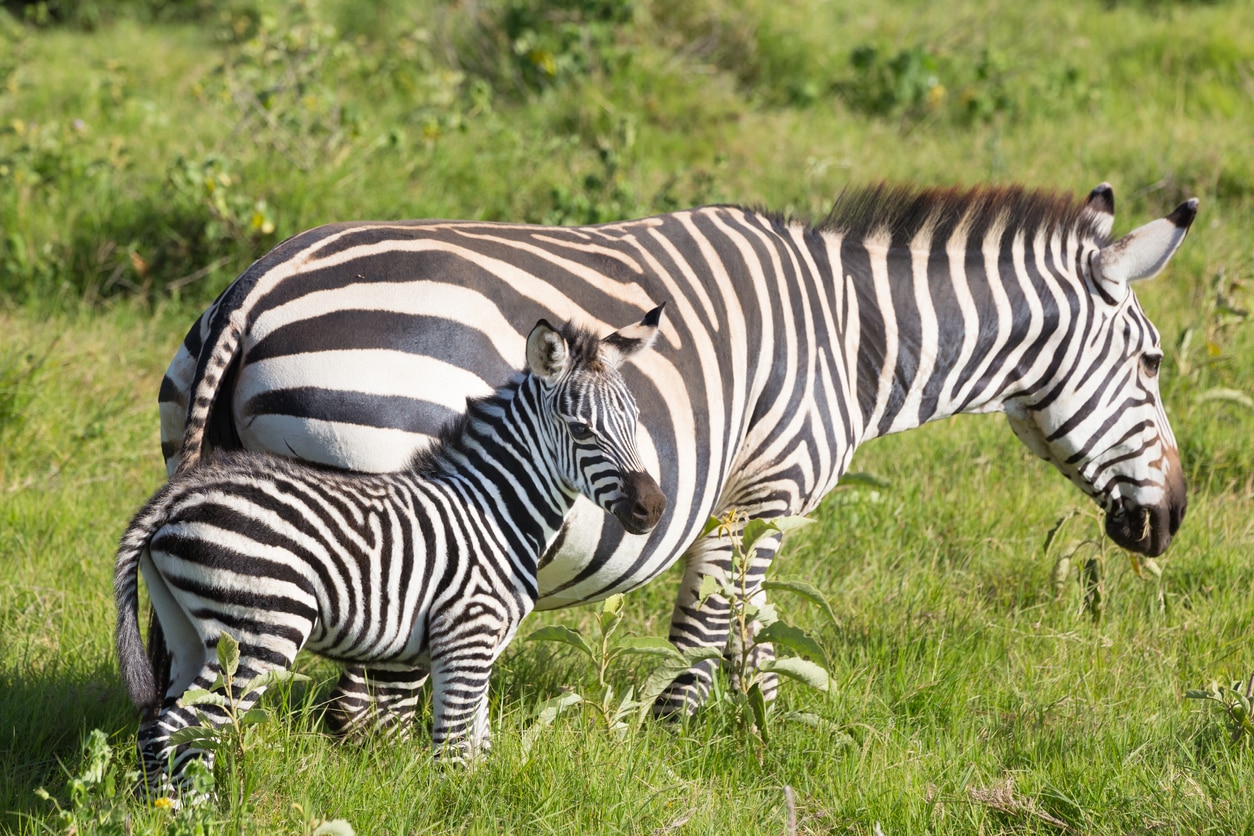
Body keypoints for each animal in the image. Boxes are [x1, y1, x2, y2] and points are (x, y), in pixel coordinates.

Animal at [115, 308, 666, 798]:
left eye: (637, 420)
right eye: (581, 430)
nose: (652, 507)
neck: (495, 508)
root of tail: (177, 496)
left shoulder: (483, 646)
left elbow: (481, 747)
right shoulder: (465, 636)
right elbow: (454, 754)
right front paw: (455, 808)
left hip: (190, 633)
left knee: (158, 728)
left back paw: (157, 813)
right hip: (259, 632)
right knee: (181, 728)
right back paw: (196, 816)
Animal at [158, 182, 1196, 722]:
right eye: (1152, 363)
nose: (1172, 520)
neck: (854, 334)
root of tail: (261, 284)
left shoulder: (734, 499)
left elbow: (747, 625)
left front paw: (759, 732)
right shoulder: (767, 489)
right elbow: (716, 622)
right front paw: (696, 733)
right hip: (379, 520)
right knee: (363, 701)